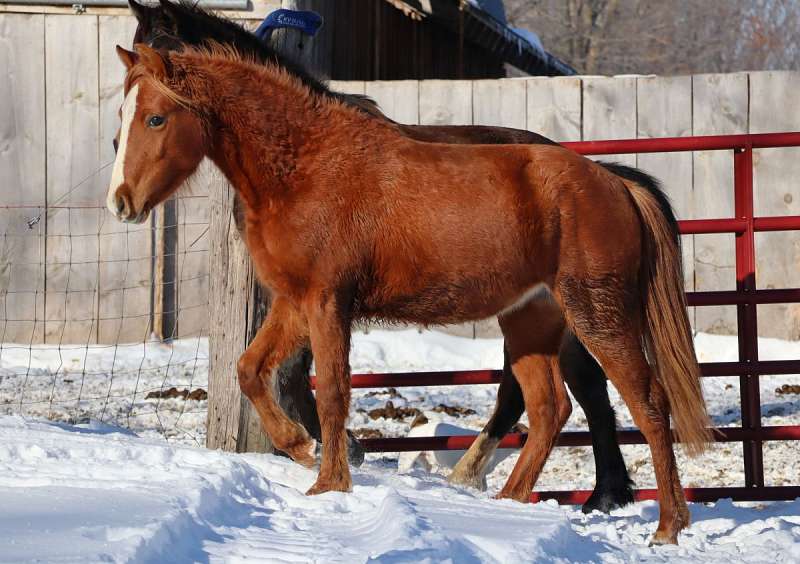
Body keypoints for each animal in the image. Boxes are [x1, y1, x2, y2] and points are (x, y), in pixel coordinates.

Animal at [107, 43, 711, 545]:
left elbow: (332, 392)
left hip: (597, 314)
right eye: (122, 119)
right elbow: (250, 370)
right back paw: (507, 503)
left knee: (647, 404)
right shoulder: (295, 301)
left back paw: (667, 527)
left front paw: (329, 484)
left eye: (156, 117)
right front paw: (300, 449)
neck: (305, 166)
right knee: (548, 408)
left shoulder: (328, 301)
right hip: (530, 320)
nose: (120, 201)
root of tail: (613, 181)